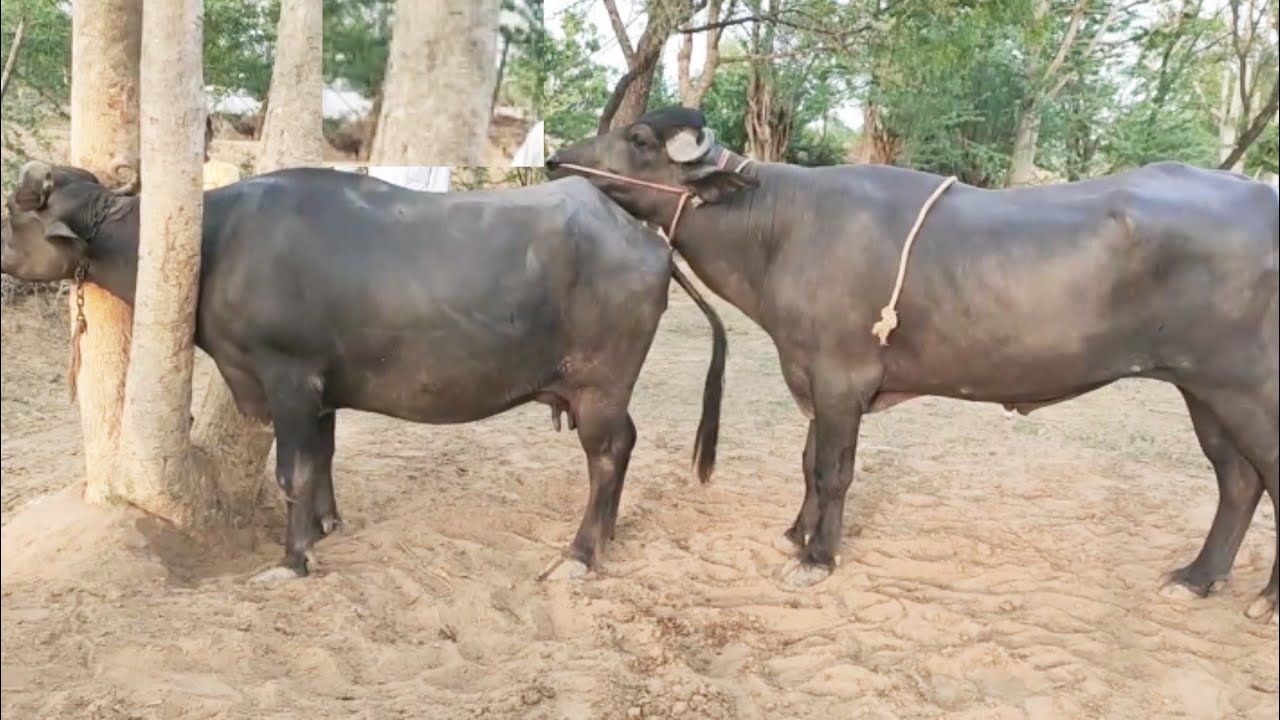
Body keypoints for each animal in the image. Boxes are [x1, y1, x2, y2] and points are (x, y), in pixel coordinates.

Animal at [1, 161, 728, 583]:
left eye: (12, 211)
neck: (220, 243)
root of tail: (647, 238)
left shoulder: (288, 378)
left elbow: (293, 471)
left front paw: (292, 559)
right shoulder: (321, 389)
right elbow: (323, 458)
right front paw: (327, 525)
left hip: (599, 386)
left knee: (608, 454)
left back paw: (579, 553)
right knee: (625, 448)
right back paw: (605, 536)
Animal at [546, 107, 1279, 623]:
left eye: (639, 139)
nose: (558, 159)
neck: (781, 228)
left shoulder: (842, 378)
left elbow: (834, 473)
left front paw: (818, 557)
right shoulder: (813, 376)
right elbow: (808, 463)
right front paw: (795, 534)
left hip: (1250, 390)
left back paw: (1263, 598)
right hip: (1201, 390)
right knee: (1238, 480)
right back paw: (1197, 578)